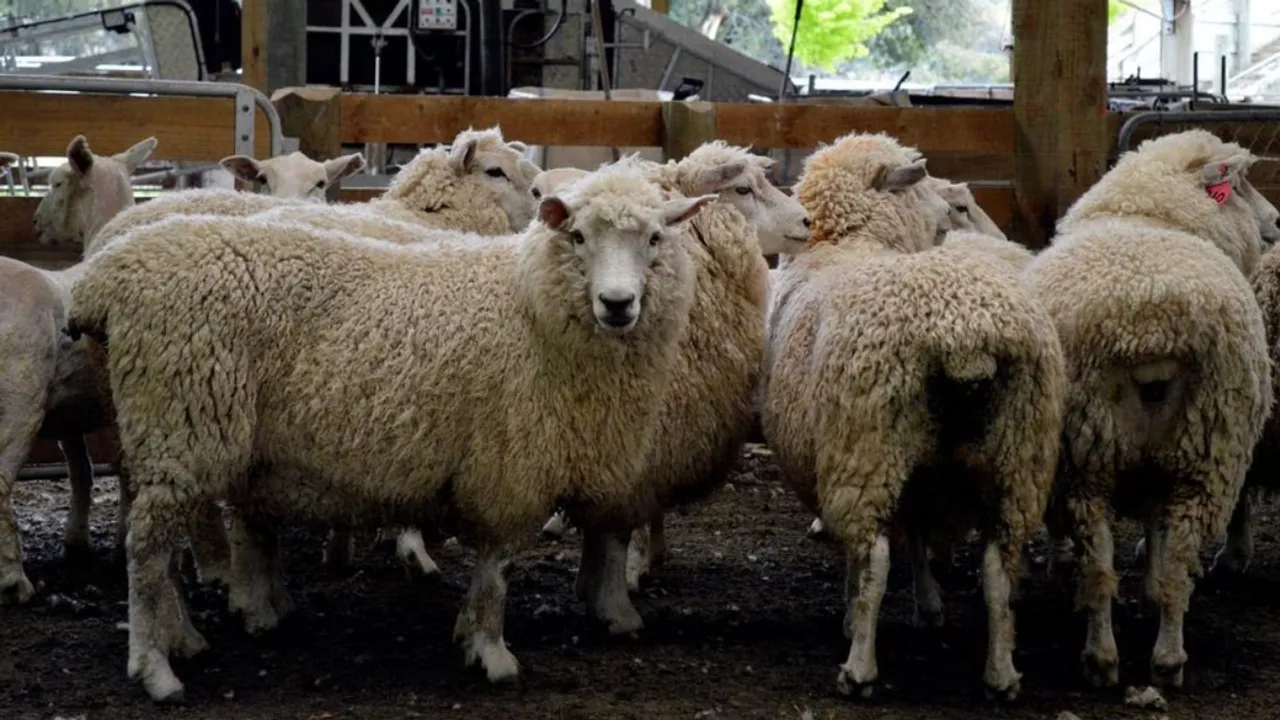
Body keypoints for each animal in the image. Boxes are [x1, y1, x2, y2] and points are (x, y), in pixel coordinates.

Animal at [0, 134, 155, 604]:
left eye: (53, 183)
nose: (35, 223)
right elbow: (109, 471)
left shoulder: (70, 412)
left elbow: (85, 472)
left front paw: (78, 543)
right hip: (18, 399)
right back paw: (13, 580)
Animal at [66, 159, 711, 702]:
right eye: (577, 237)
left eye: (655, 239)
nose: (618, 303)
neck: (531, 304)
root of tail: (108, 275)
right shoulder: (510, 466)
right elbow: (498, 570)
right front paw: (491, 652)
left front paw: (468, 636)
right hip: (183, 426)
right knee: (146, 548)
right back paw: (155, 667)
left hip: (166, 433)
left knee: (161, 545)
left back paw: (184, 638)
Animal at [763, 131, 1065, 700]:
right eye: (922, 183)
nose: (946, 211)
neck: (853, 241)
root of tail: (964, 335)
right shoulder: (923, 474)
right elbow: (922, 537)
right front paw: (929, 605)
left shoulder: (845, 457)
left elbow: (869, 554)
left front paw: (853, 613)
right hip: (1016, 456)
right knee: (998, 565)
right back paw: (1001, 672)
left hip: (869, 452)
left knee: (876, 558)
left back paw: (859, 667)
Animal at [1023, 128, 1273, 689]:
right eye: (1240, 186)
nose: (1276, 223)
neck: (1147, 212)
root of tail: (1150, 328)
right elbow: (1158, 536)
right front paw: (1151, 593)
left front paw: (1147, 593)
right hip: (1197, 451)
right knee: (1171, 558)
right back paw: (1156, 658)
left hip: (1107, 458)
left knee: (1105, 564)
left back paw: (1116, 658)